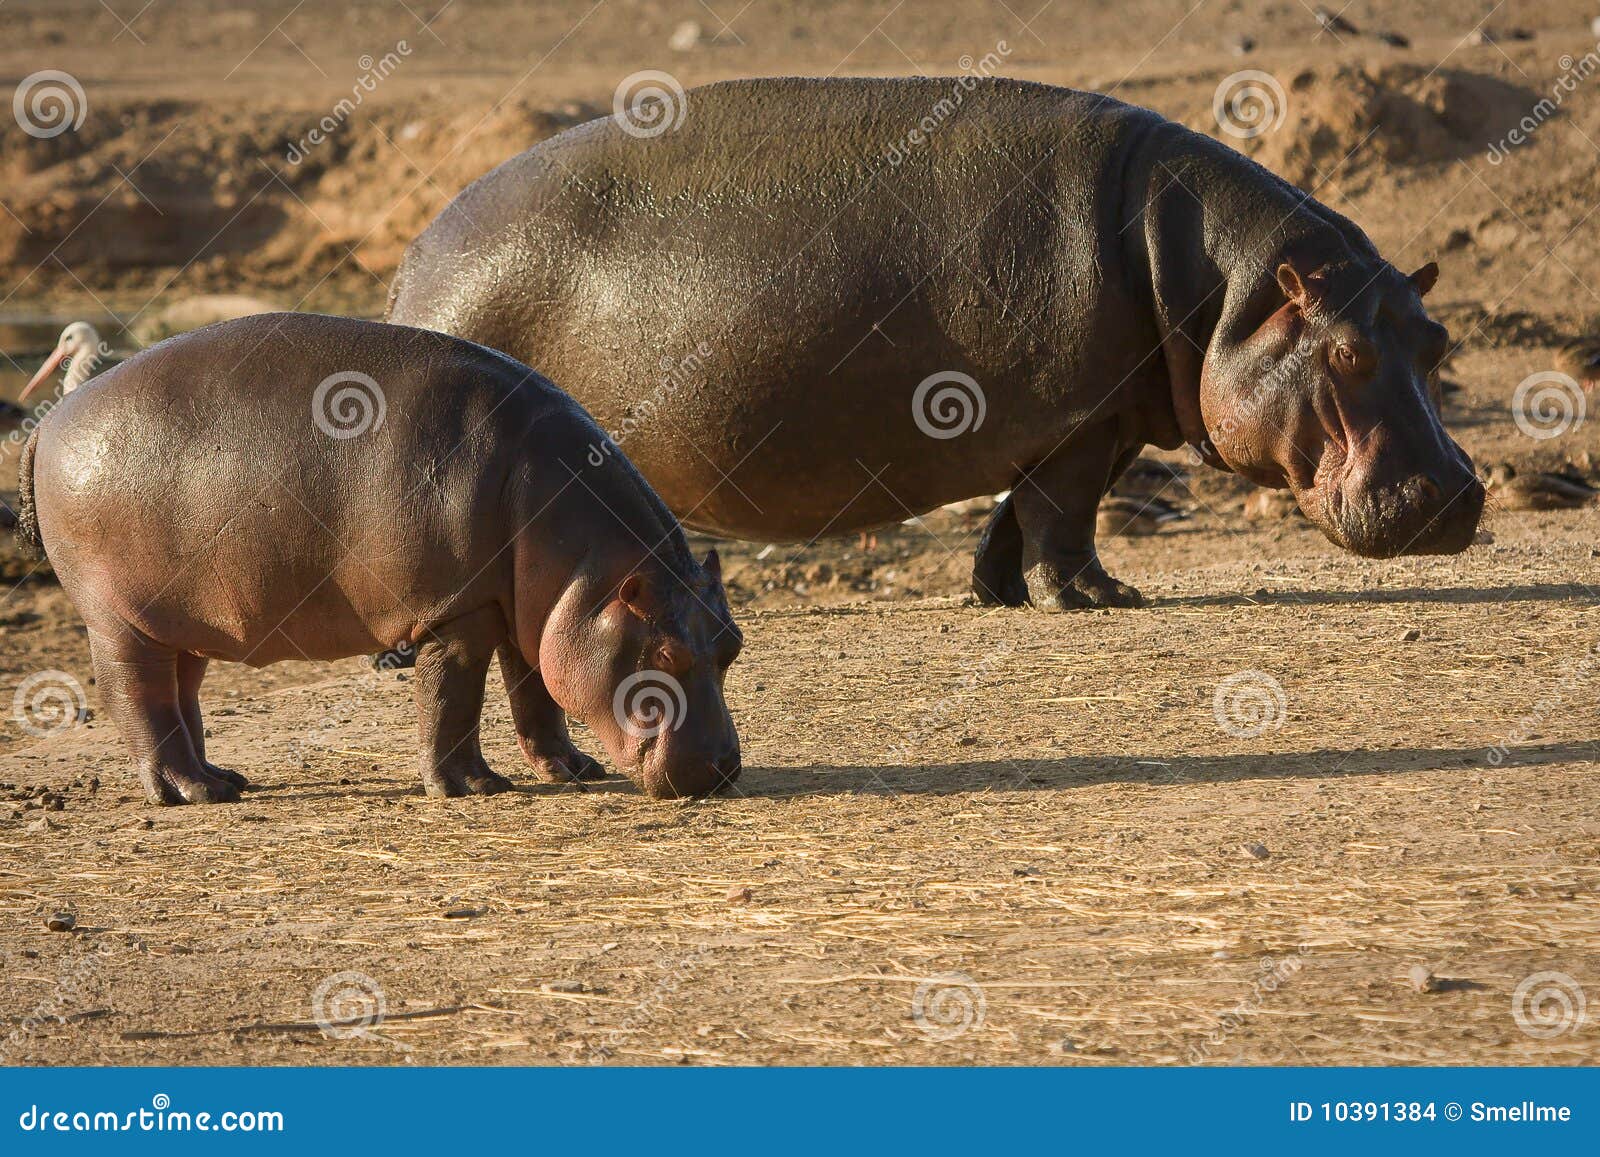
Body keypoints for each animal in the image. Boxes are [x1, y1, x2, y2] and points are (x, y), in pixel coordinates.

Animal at [15, 313, 742, 804]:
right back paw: (185, 792)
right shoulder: (458, 609)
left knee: (180, 691)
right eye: (667, 653)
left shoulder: (529, 609)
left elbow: (537, 693)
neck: (590, 569)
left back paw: (223, 779)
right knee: (136, 696)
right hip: (118, 618)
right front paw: (472, 786)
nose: (722, 769)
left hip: (182, 614)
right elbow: (453, 698)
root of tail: (48, 422)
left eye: (733, 645)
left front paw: (573, 770)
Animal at [387, 76, 1484, 610]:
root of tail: (414, 260)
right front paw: (1104, 598)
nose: (1457, 494)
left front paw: (998, 595)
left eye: (1435, 340)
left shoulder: (1092, 417)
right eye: (1345, 354)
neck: (1230, 293)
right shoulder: (1080, 422)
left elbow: (1018, 514)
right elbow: (1063, 517)